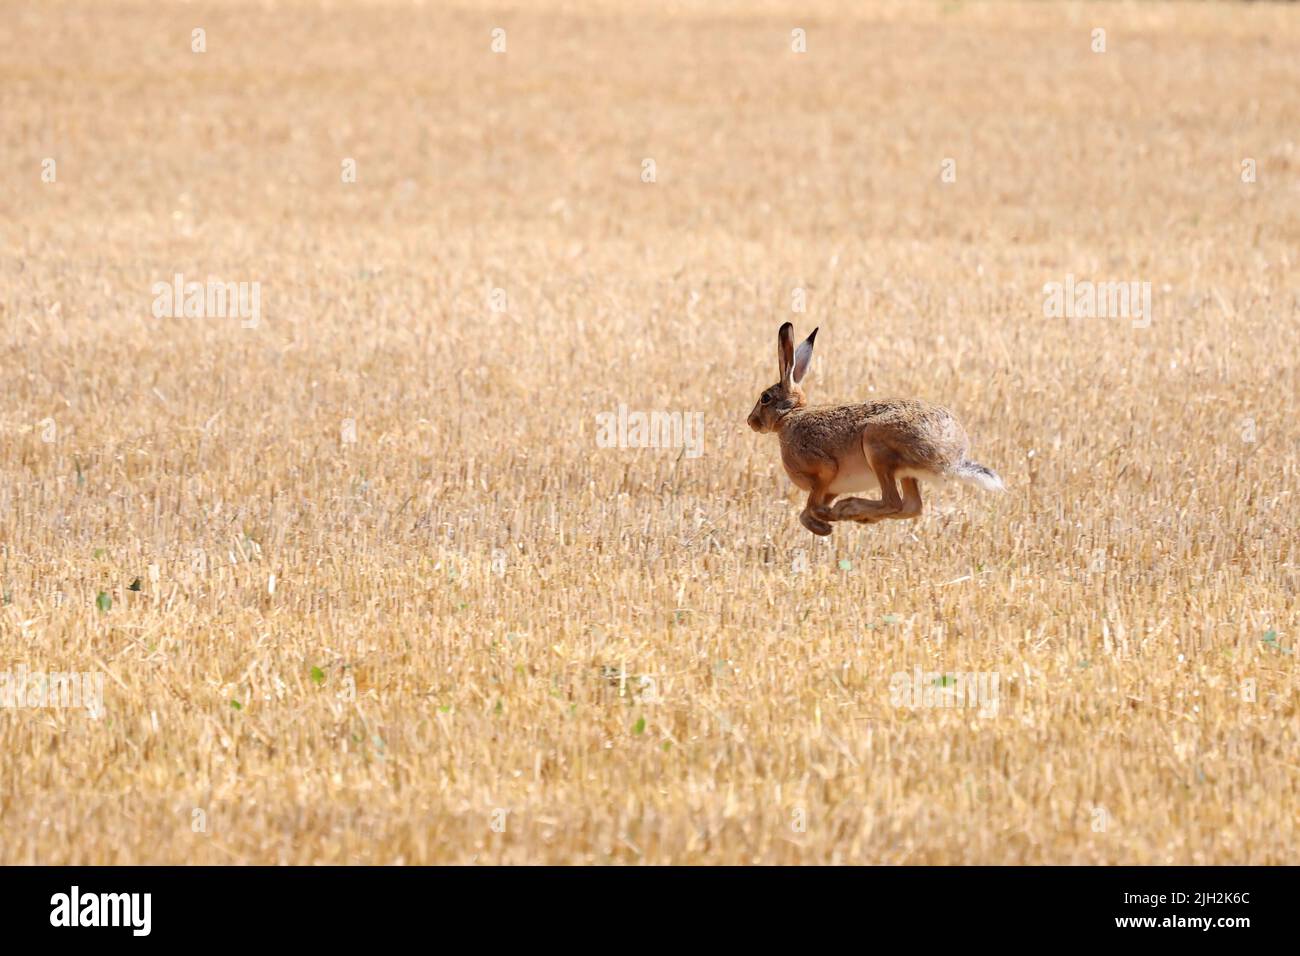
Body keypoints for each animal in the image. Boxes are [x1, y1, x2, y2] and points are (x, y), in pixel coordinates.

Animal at [747, 322, 1004, 536]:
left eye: (765, 398)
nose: (751, 421)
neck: (789, 416)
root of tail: (952, 461)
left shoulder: (825, 471)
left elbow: (813, 505)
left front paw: (829, 519)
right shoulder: (831, 488)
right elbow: (807, 511)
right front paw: (823, 528)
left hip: (876, 448)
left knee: (894, 501)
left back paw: (849, 509)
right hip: (904, 472)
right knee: (911, 506)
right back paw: (860, 516)